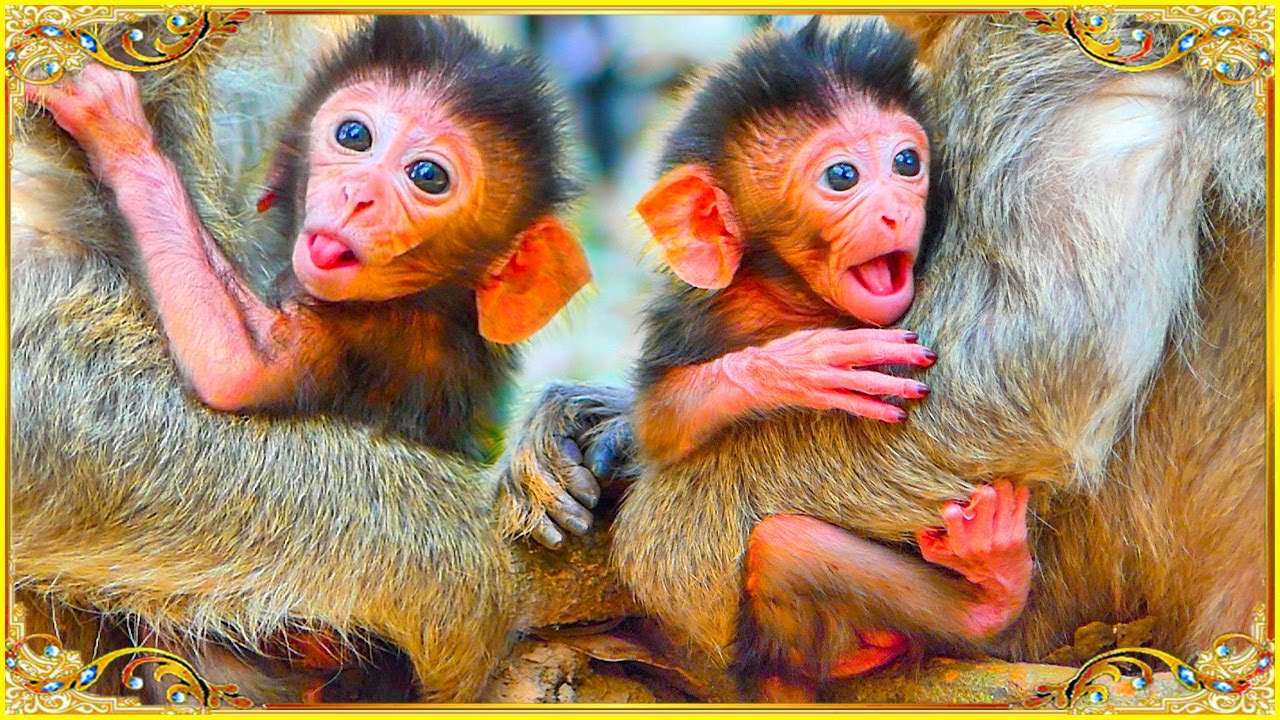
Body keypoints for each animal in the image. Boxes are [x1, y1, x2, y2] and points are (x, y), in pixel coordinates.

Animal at [497, 12, 1267, 702]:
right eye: (842, 176)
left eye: (906, 163)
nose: (897, 209)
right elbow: (669, 408)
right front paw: (597, 424)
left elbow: (1034, 366)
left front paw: (666, 539)